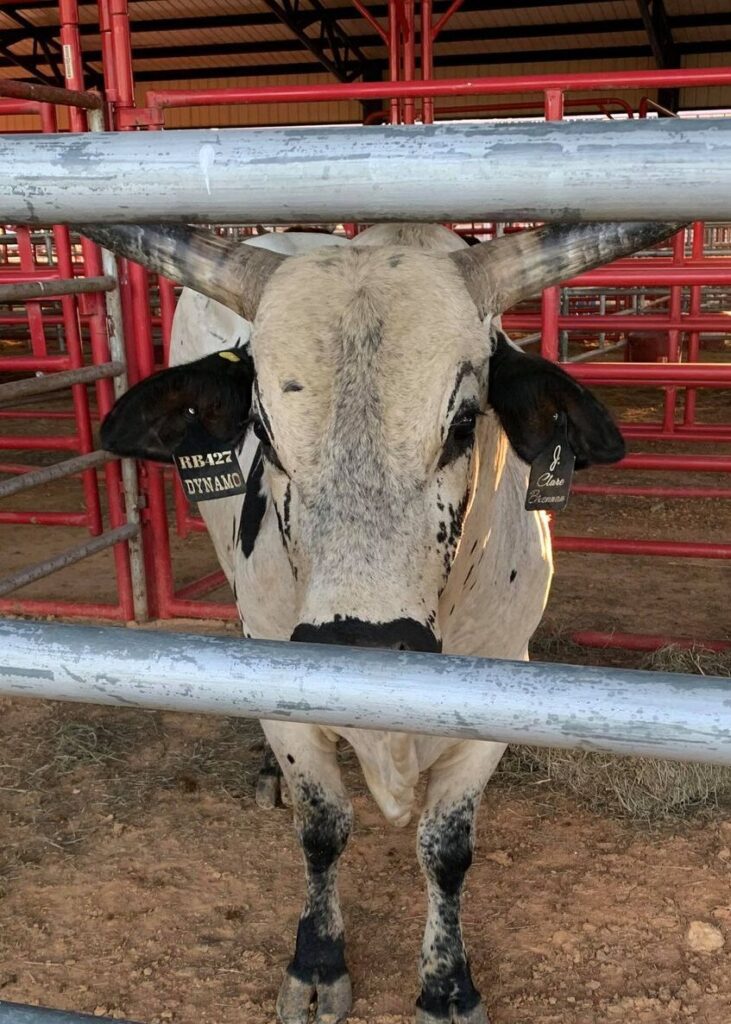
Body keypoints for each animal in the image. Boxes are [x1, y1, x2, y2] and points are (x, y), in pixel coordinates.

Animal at [80, 218, 677, 1024]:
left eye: (463, 423)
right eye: (263, 430)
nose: (358, 648)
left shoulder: (503, 693)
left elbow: (445, 849)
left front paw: (447, 985)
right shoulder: (287, 691)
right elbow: (322, 829)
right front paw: (317, 961)